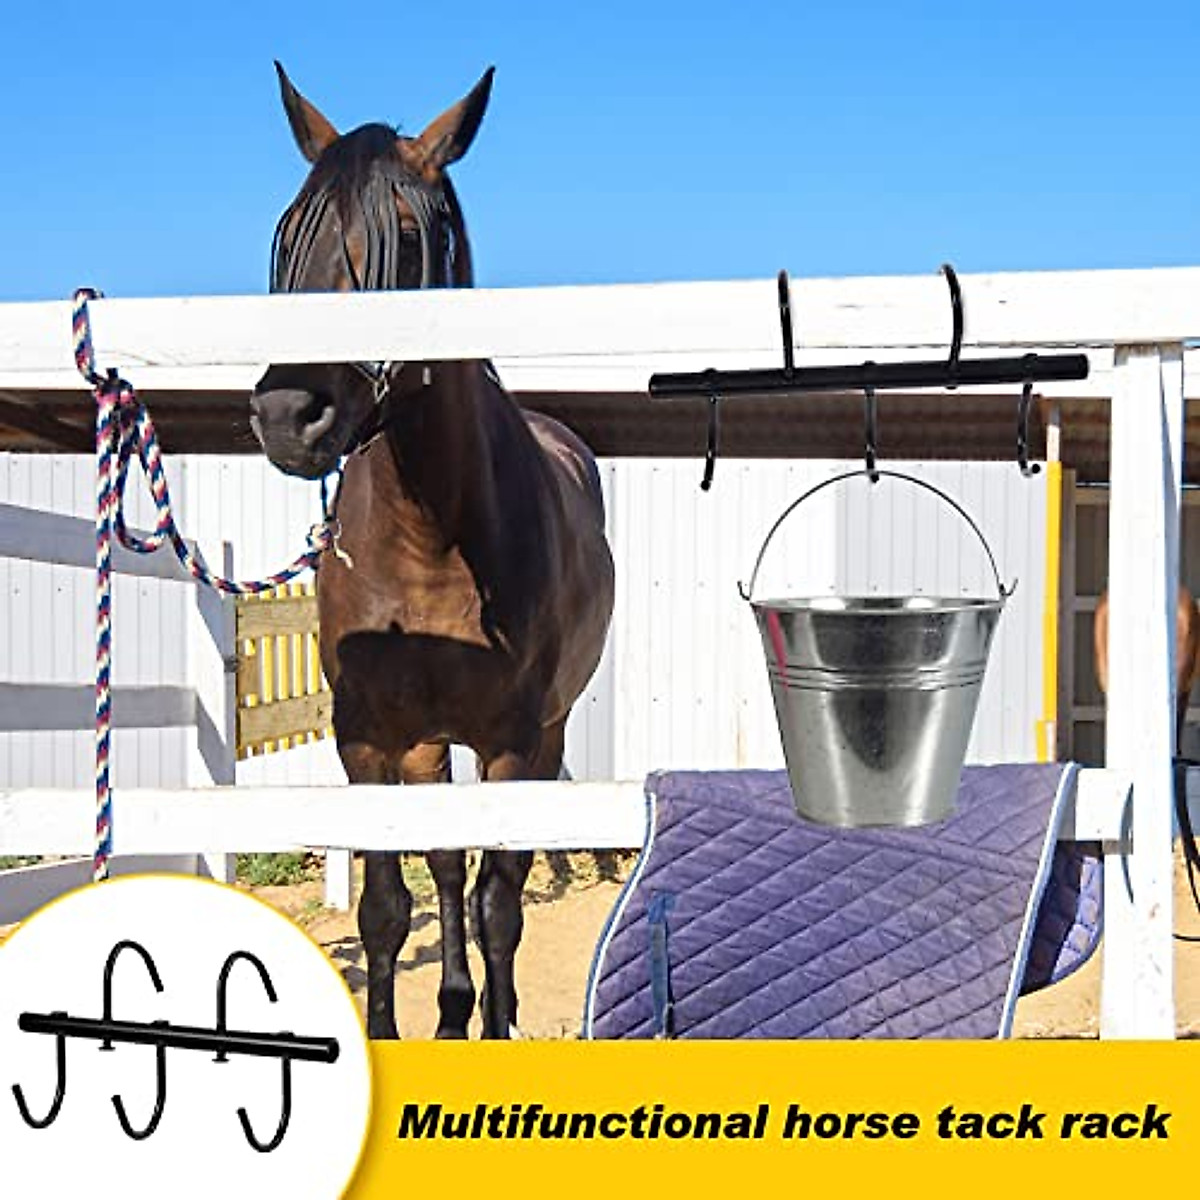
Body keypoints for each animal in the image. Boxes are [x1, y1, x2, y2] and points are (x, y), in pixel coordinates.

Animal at [249, 63, 615, 1039]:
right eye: (286, 233)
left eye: (405, 238)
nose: (287, 413)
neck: (428, 543)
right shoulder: (369, 738)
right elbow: (388, 904)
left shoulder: (514, 744)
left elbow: (500, 900)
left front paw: (496, 1020)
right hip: (425, 747)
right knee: (446, 866)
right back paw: (451, 1010)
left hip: (540, 734)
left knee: (500, 879)